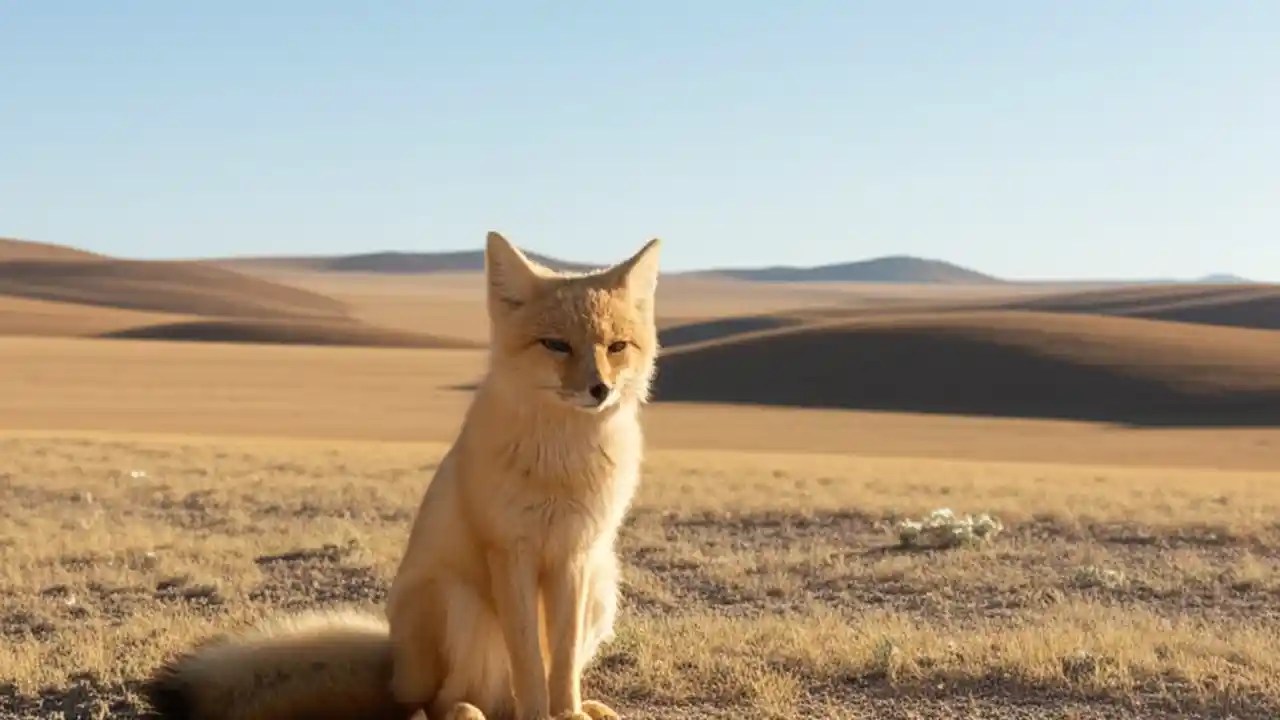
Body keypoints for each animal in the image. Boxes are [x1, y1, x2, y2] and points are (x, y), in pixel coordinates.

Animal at [145, 231, 663, 720]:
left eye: (617, 347)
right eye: (556, 344)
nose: (600, 389)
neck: (563, 462)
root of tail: (392, 662)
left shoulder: (575, 555)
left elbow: (563, 658)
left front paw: (568, 711)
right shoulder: (509, 550)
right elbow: (529, 660)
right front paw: (540, 715)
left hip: (603, 582)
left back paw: (586, 708)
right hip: (456, 601)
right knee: (436, 702)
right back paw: (466, 712)